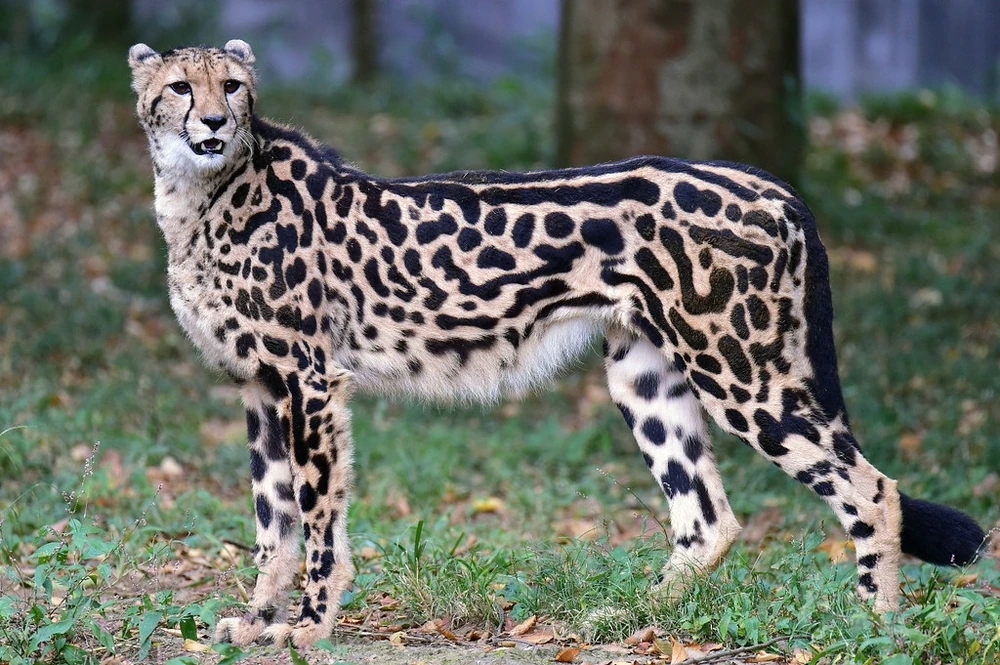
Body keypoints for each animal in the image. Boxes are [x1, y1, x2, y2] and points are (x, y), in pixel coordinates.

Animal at [128, 40, 985, 647]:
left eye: (231, 86)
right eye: (180, 87)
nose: (213, 125)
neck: (205, 192)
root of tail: (767, 182)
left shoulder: (308, 378)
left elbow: (316, 518)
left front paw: (307, 625)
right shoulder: (259, 383)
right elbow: (272, 517)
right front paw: (256, 622)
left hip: (745, 375)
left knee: (871, 489)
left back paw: (871, 626)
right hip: (645, 375)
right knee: (707, 517)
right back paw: (624, 618)